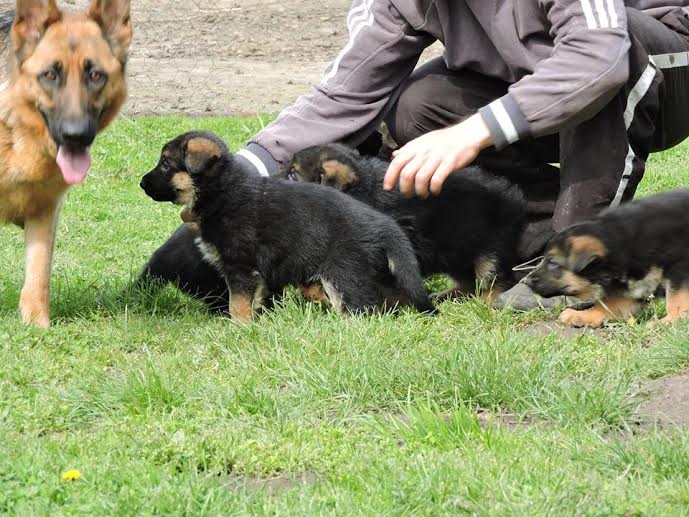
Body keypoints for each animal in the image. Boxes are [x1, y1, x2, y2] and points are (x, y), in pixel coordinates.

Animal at [0, 0, 132, 326]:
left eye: (96, 75)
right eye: (50, 75)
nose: (76, 136)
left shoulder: (45, 212)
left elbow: (38, 275)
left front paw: (37, 325)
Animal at [138, 131, 436, 320]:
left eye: (165, 164)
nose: (141, 183)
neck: (221, 191)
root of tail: (383, 224)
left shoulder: (240, 266)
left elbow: (238, 304)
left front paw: (239, 327)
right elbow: (257, 299)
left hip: (344, 273)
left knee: (362, 309)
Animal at [284, 143, 528, 300]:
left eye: (293, 174)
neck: (363, 191)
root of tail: (516, 199)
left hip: (491, 249)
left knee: (494, 280)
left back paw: (488, 304)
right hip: (455, 252)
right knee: (468, 283)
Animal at [524, 188, 688, 326]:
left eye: (552, 262)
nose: (526, 281)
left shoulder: (679, 268)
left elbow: (676, 299)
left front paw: (670, 321)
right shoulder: (635, 288)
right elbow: (609, 305)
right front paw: (583, 315)